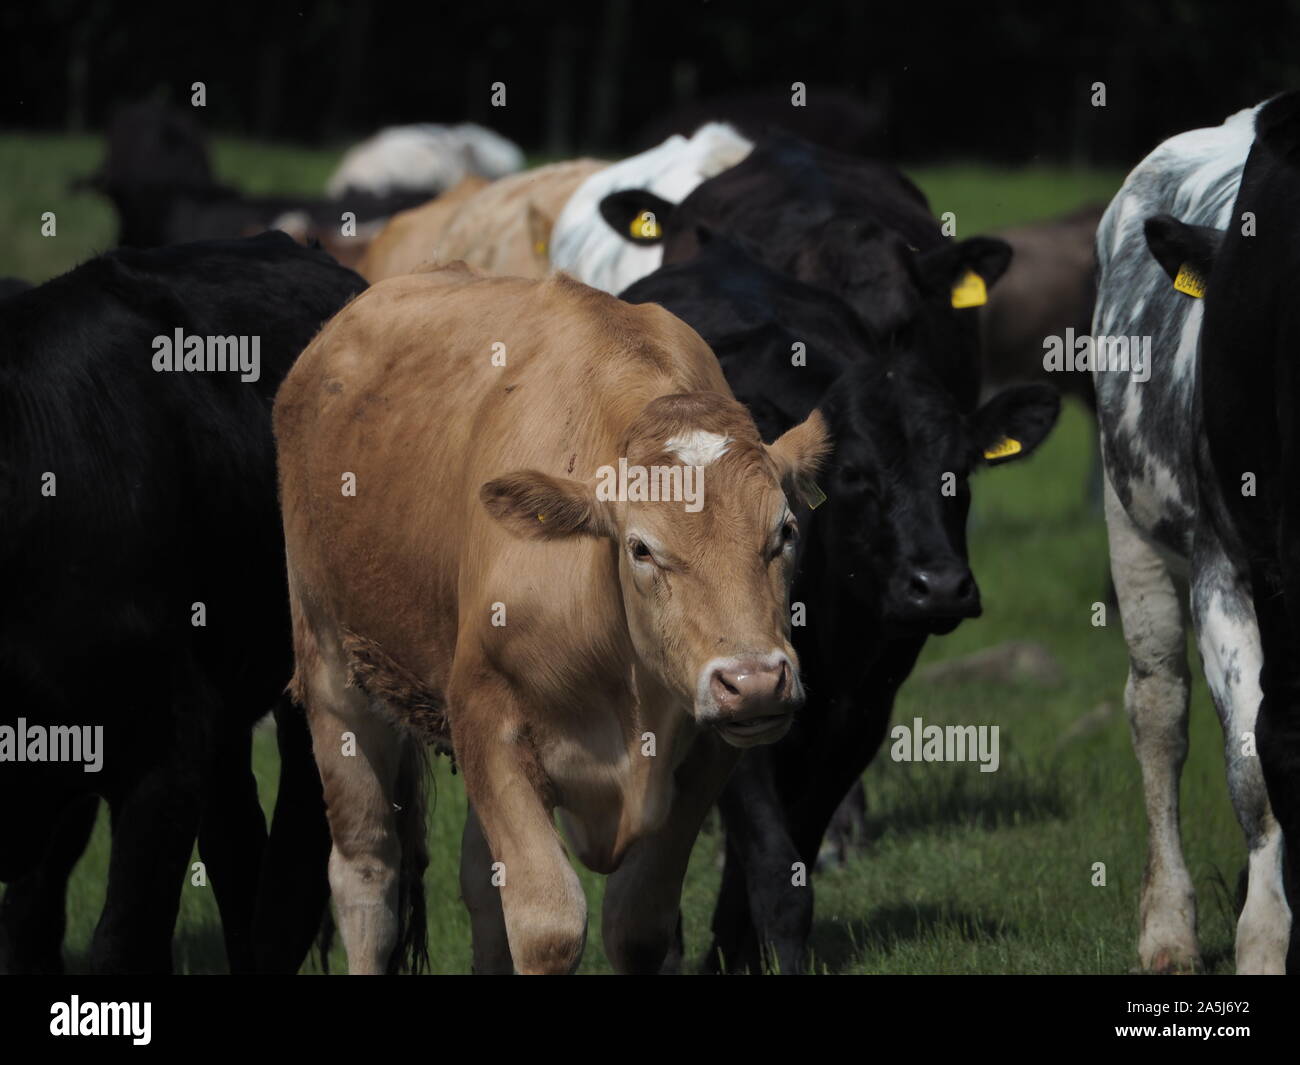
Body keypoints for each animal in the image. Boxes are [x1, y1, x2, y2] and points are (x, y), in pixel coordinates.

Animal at [273, 262, 830, 974]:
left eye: (784, 532)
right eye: (640, 547)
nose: (754, 681)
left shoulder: (707, 754)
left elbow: (636, 924)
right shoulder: (488, 721)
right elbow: (548, 926)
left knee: (481, 889)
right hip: (333, 675)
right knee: (367, 879)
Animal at [621, 233, 1059, 972]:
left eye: (961, 470)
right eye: (853, 475)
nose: (939, 583)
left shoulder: (857, 717)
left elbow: (785, 858)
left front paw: (739, 953)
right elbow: (773, 866)